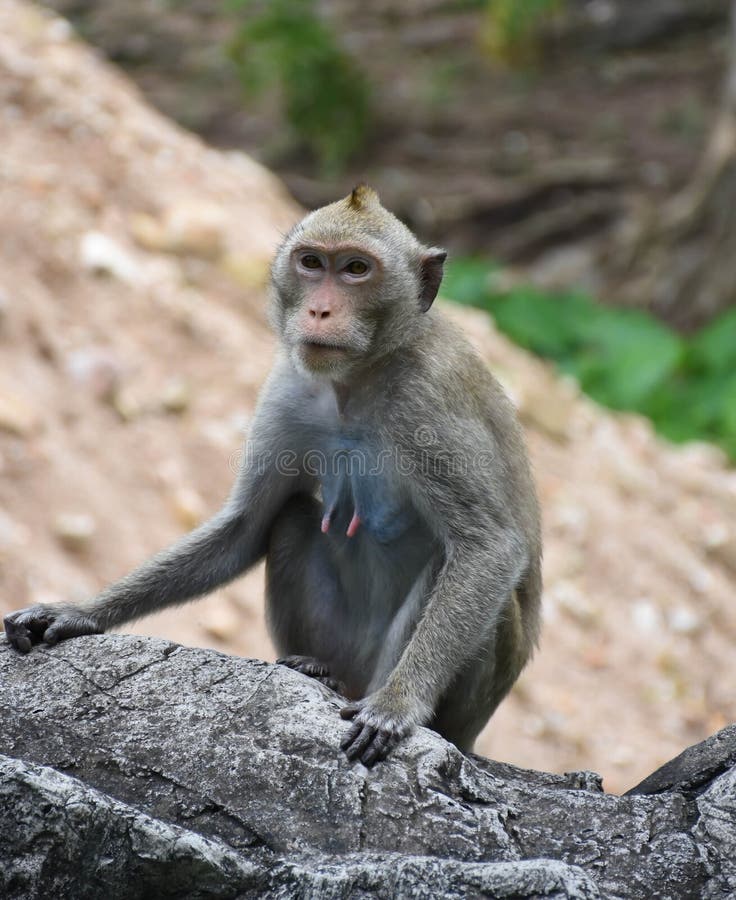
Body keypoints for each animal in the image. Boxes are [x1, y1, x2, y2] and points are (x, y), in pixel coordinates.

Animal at [3, 186, 542, 767]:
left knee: (453, 561)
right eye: (312, 263)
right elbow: (248, 525)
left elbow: (488, 548)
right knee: (291, 517)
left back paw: (377, 696)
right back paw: (314, 669)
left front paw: (397, 705)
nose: (320, 308)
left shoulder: (430, 399)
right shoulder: (290, 386)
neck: (358, 377)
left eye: (356, 269)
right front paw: (78, 612)